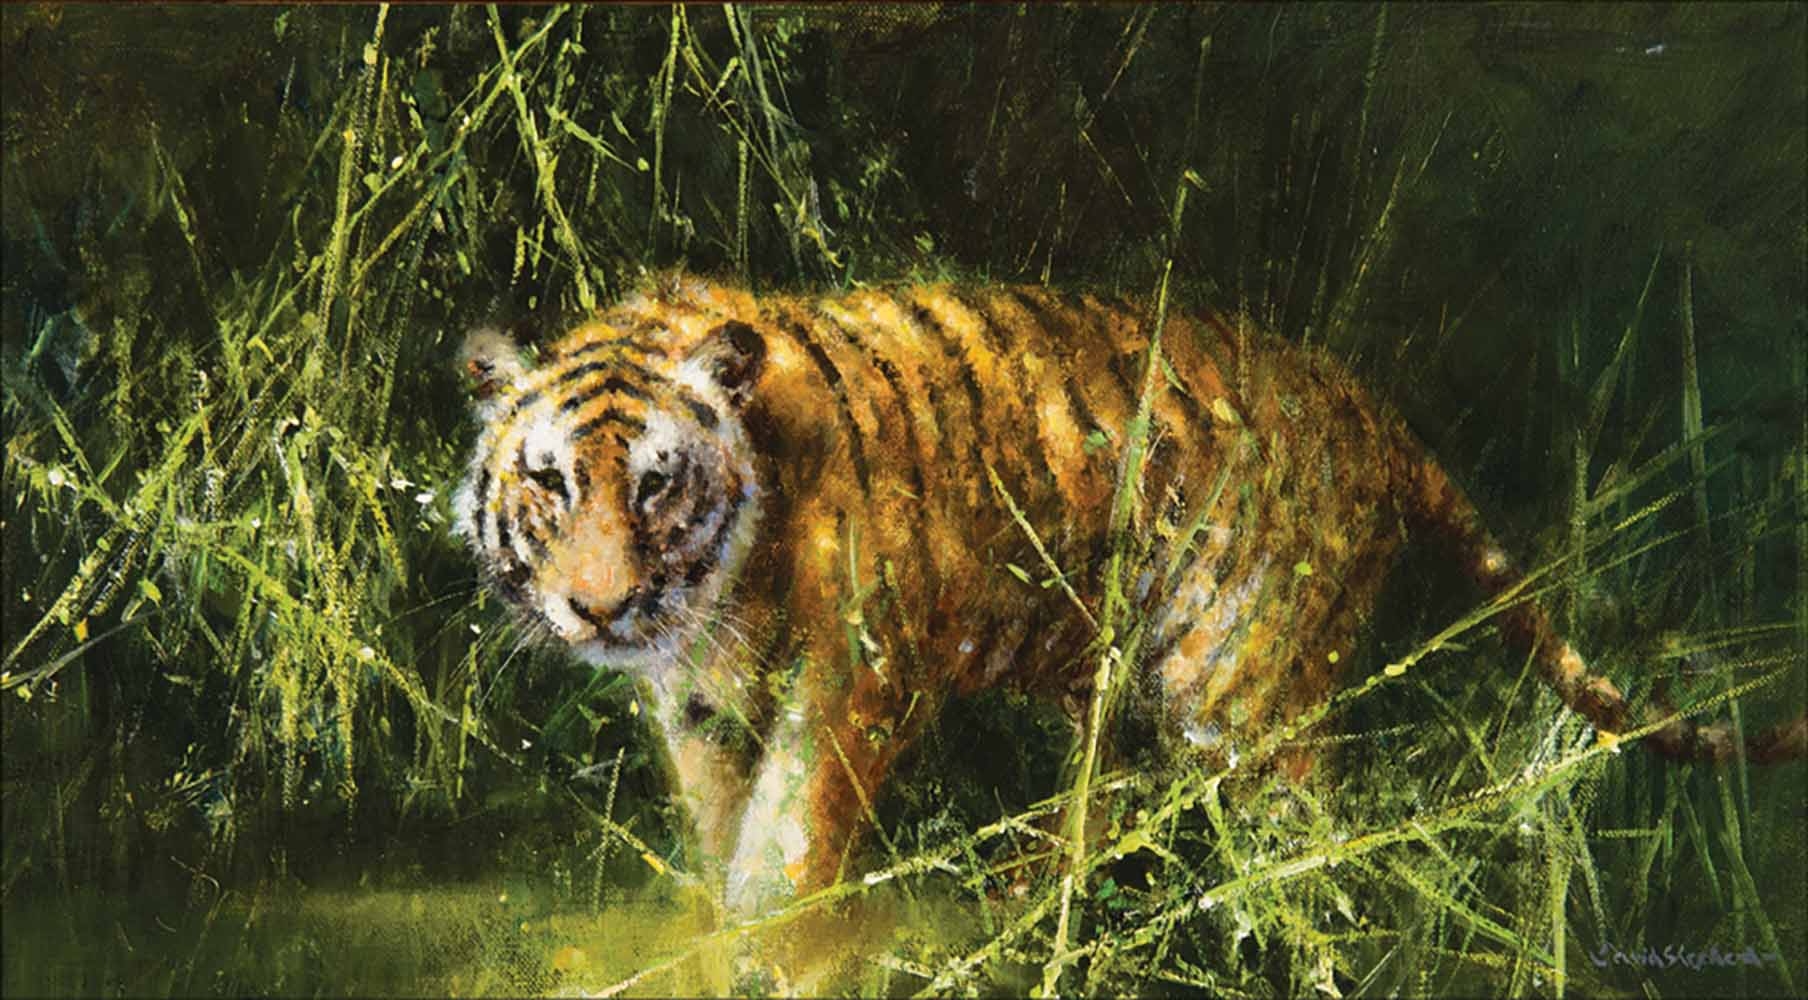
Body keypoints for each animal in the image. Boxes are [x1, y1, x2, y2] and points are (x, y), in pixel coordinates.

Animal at [452, 274, 1805, 918]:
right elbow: (718, 811)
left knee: (1305, 829)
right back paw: (1023, 887)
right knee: (1114, 785)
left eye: (657, 483)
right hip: (1111, 666)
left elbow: (787, 830)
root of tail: (1365, 406)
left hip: (1237, 685)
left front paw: (768, 935)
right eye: (550, 483)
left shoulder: (854, 677)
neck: (723, 590)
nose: (597, 608)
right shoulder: (697, 700)